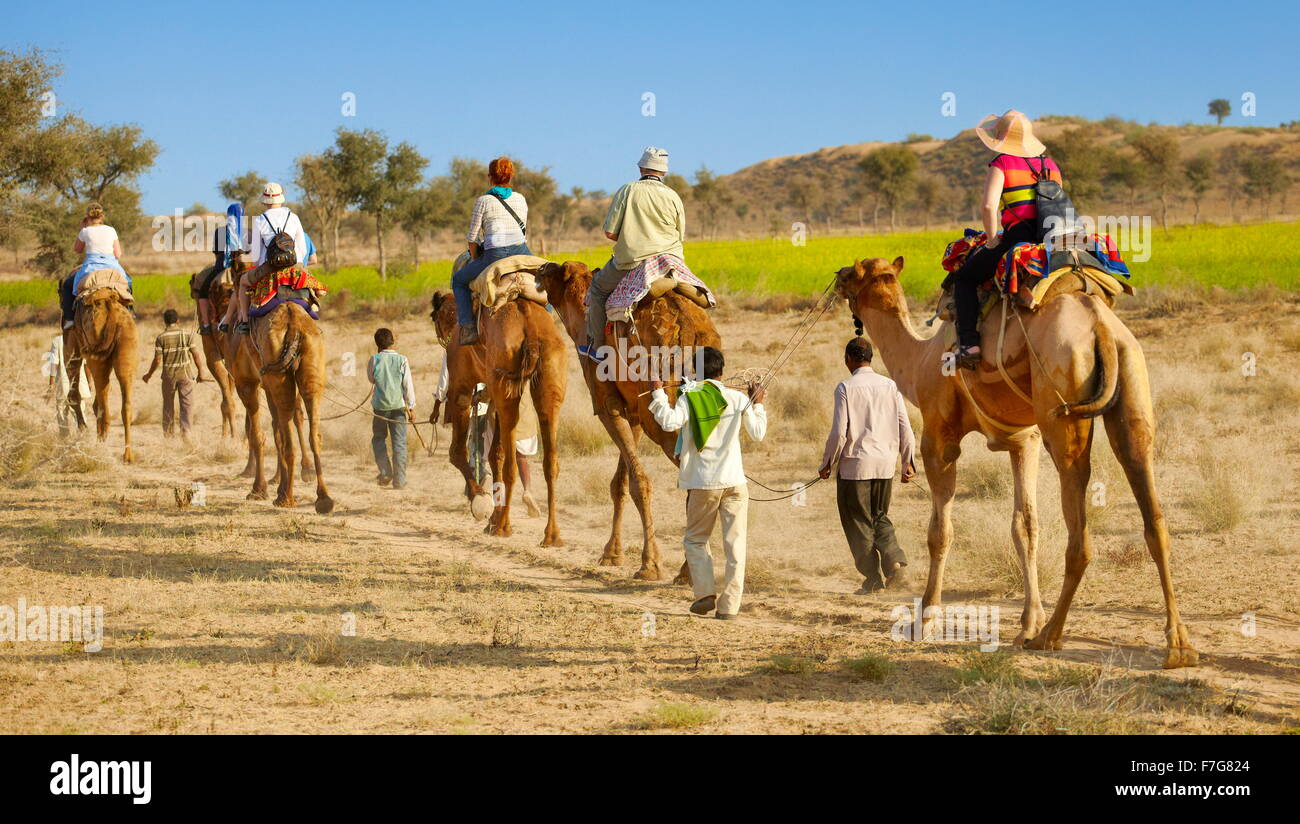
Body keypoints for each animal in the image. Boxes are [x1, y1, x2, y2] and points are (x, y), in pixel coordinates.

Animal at [65, 285, 138, 463]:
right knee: (124, 403)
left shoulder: (71, 344)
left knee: (100, 399)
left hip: (93, 348)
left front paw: (82, 430)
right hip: (127, 342)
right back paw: (127, 455)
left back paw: (101, 441)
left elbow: (74, 395)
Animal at [429, 287, 565, 546]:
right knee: (549, 458)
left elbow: (457, 452)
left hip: (505, 378)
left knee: (511, 463)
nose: (443, 339)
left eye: (435, 318)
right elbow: (495, 454)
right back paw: (551, 535)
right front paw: (491, 517)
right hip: (548, 375)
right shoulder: (492, 395)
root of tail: (531, 328)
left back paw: (504, 527)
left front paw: (480, 502)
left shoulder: (461, 388)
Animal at [538, 261, 720, 581]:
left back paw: (688, 570)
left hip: (663, 414)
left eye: (559, 269)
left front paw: (649, 564)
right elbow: (620, 483)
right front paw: (612, 553)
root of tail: (688, 330)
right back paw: (690, 569)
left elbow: (638, 481)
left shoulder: (608, 405)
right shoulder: (632, 413)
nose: (543, 266)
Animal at [834, 255, 1197, 669]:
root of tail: (1101, 328)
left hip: (1063, 396)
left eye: (854, 271)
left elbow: (940, 532)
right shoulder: (1024, 441)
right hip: (1132, 378)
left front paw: (925, 619)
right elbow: (1025, 526)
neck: (919, 361)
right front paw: (1026, 622)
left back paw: (1050, 636)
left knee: (1079, 519)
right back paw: (1178, 645)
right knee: (1148, 497)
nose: (836, 277)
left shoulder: (939, 436)